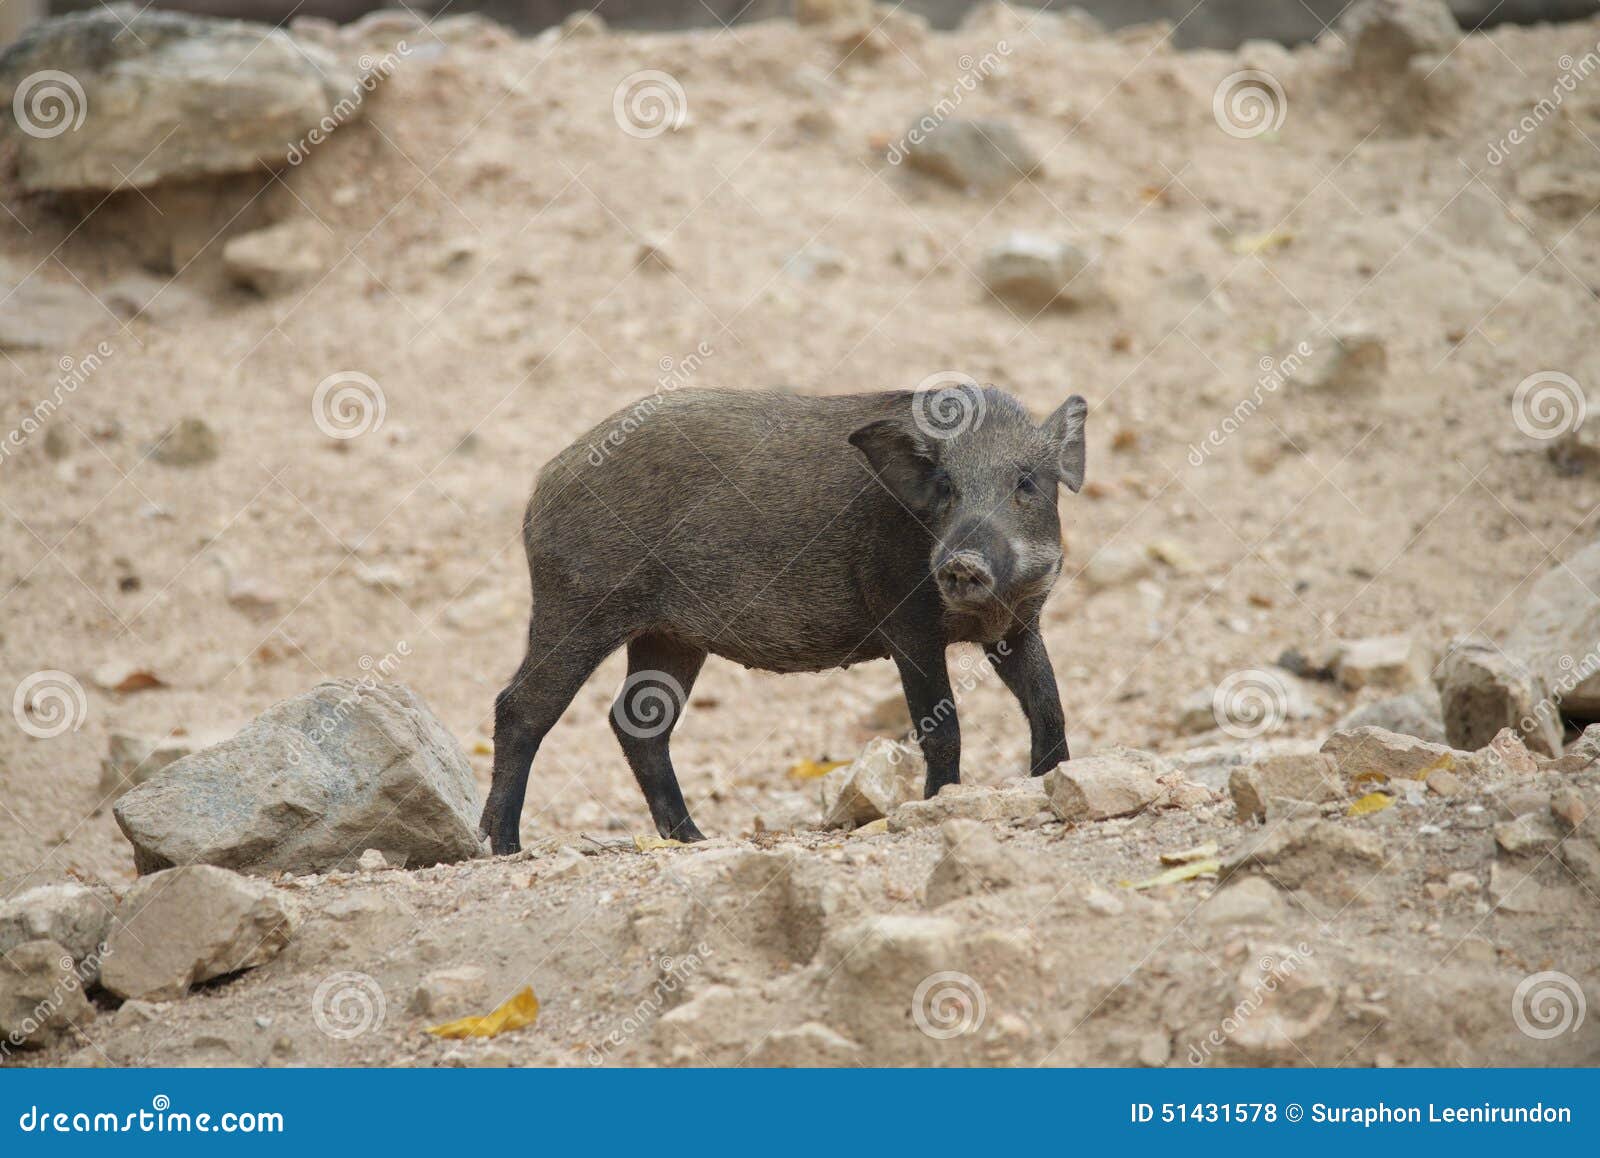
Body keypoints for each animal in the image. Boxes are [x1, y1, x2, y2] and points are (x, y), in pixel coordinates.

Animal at [480, 383, 1087, 853]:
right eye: (945, 486)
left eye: (1027, 482)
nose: (962, 563)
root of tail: (545, 482)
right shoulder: (907, 628)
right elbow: (943, 729)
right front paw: (939, 804)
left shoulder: (1019, 628)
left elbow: (1049, 707)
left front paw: (1049, 781)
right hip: (578, 607)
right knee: (521, 707)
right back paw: (503, 846)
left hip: (668, 637)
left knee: (636, 722)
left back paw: (693, 839)